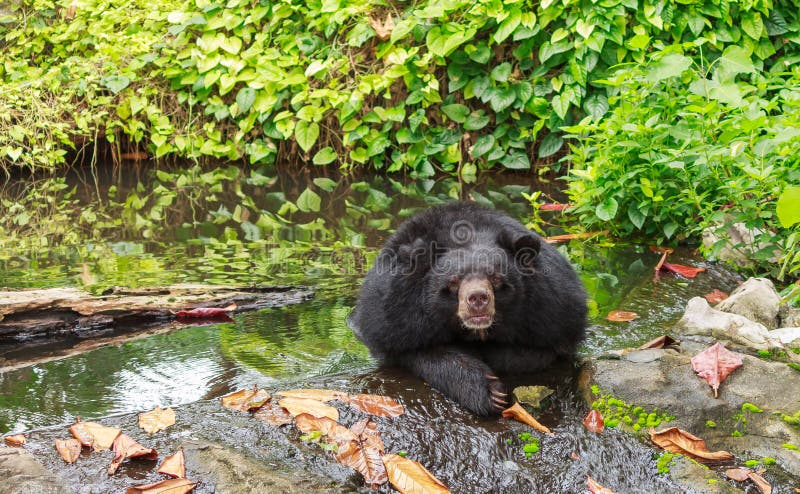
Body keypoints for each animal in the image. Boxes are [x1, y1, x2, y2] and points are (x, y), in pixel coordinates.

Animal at [349, 202, 588, 416]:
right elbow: (417, 351)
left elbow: (540, 350)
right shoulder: (393, 314)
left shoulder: (553, 308)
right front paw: (489, 393)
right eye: (454, 282)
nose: (478, 298)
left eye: (494, 277)